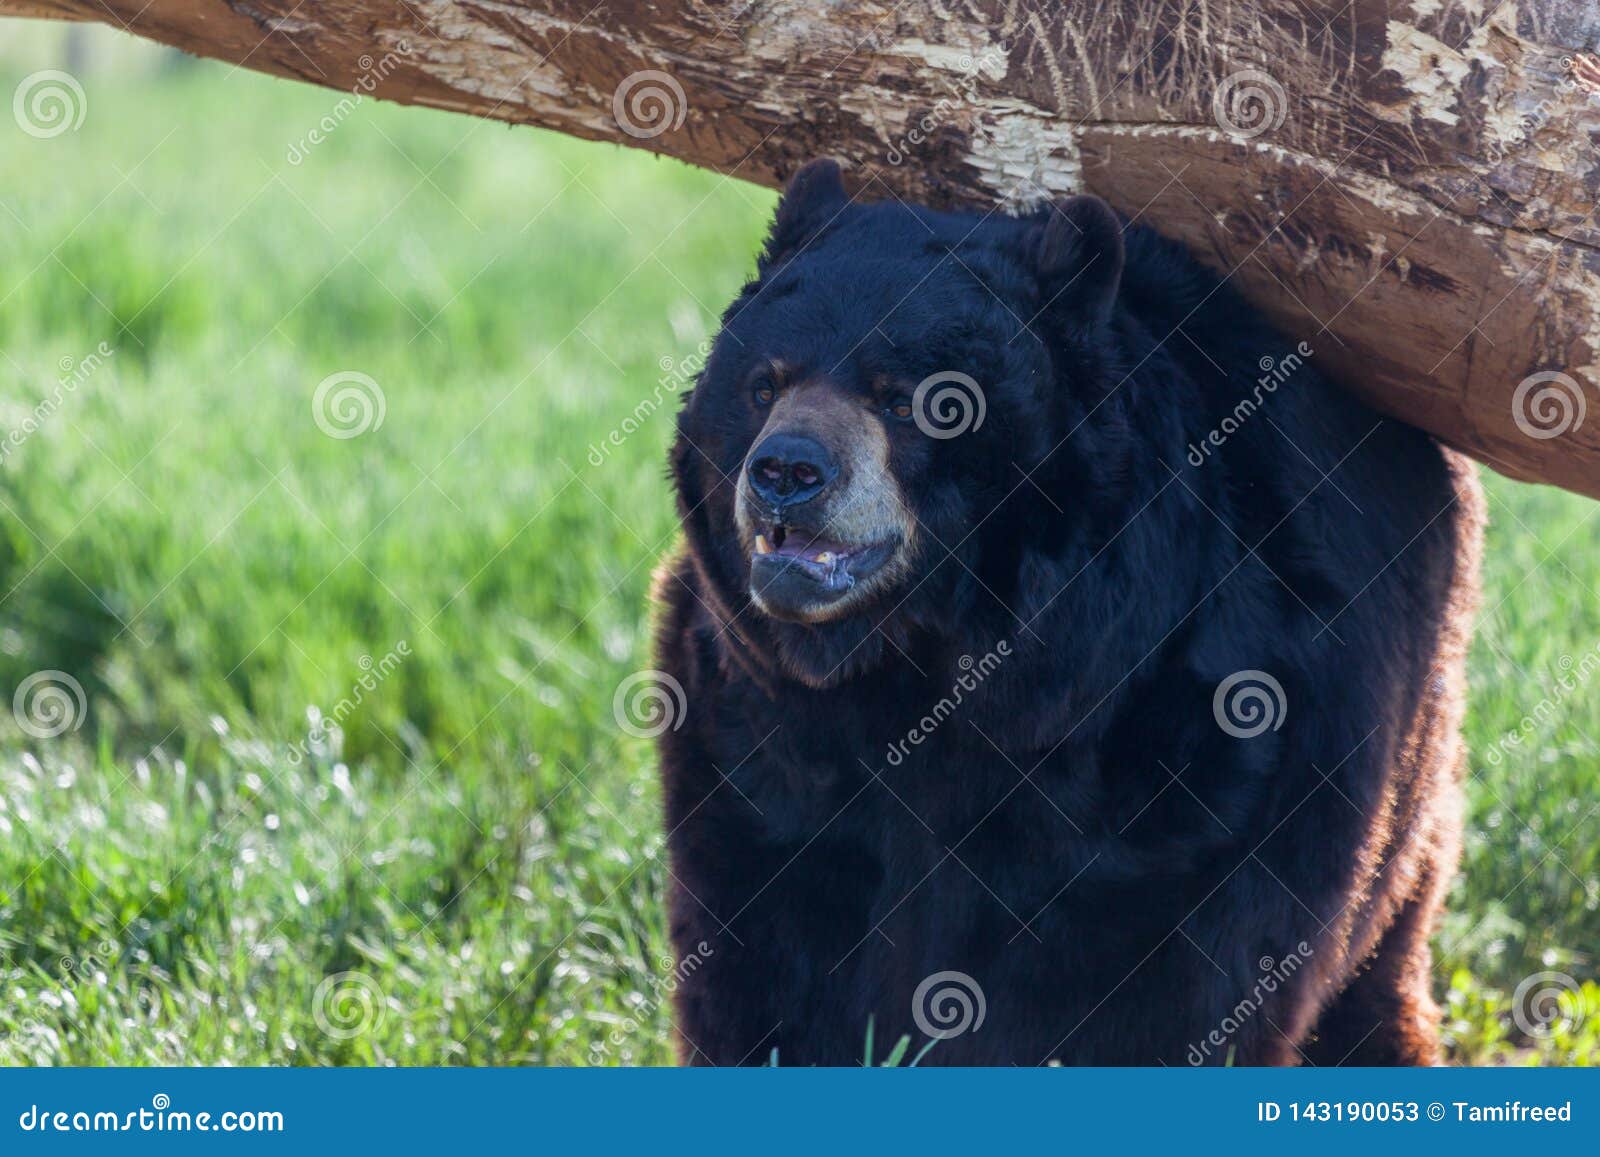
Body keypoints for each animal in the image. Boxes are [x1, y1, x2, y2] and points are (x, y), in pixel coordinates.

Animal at [653, 159, 1483, 1066]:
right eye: (763, 382)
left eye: (910, 400)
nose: (787, 470)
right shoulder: (759, 729)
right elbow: (764, 927)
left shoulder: (1213, 734)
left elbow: (1164, 975)